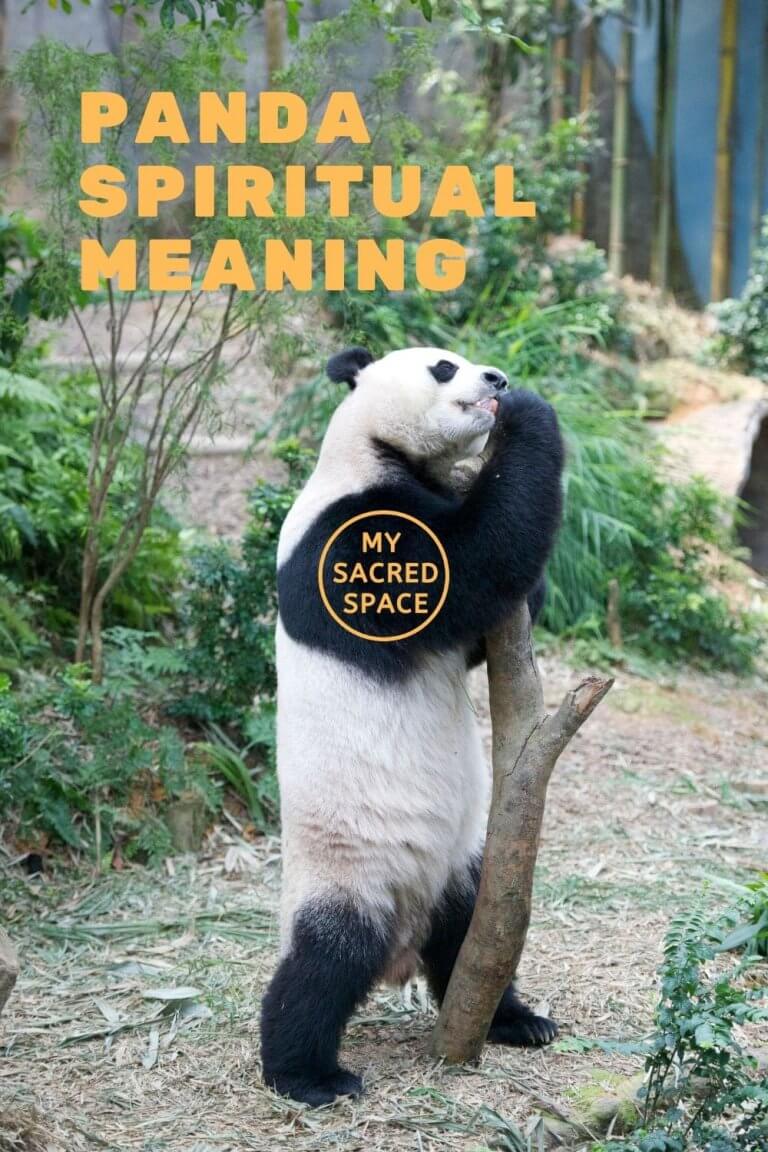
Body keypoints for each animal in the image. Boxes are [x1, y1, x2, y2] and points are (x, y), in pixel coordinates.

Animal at [261, 345, 564, 1107]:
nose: (496, 380)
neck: (370, 452)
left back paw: (517, 1020)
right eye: (444, 366)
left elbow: (486, 614)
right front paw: (528, 414)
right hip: (350, 868)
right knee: (324, 963)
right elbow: (466, 562)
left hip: (460, 865)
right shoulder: (349, 535)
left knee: (472, 936)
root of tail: (403, 935)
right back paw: (306, 1075)